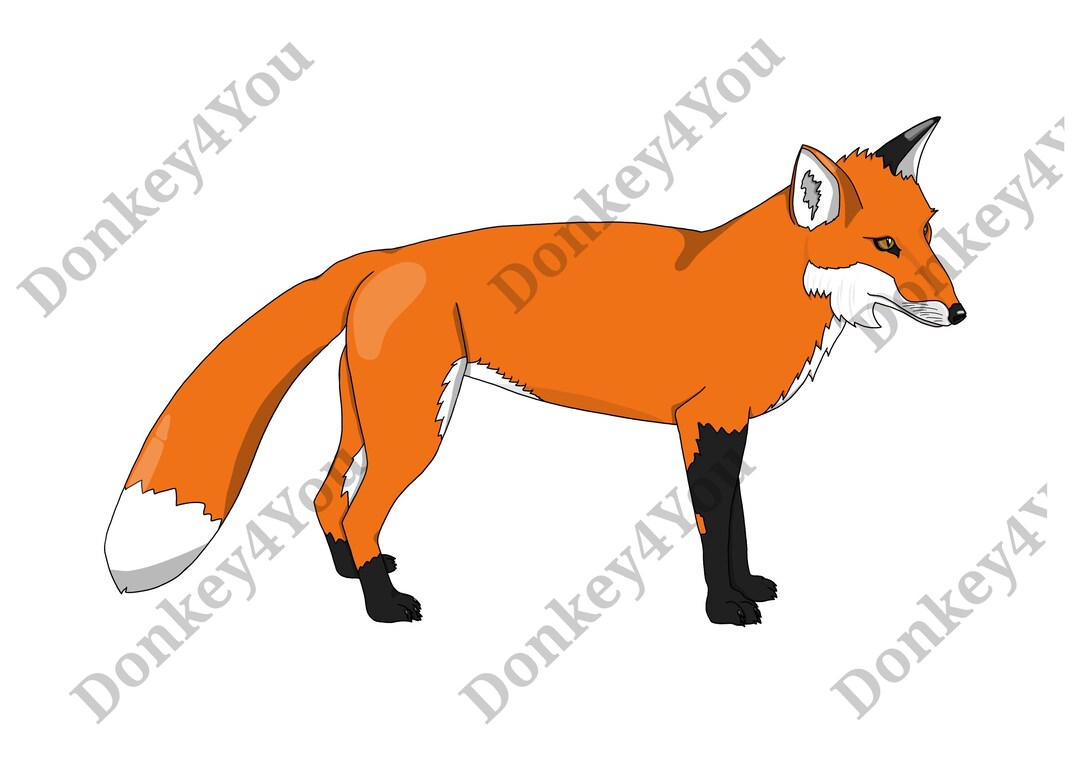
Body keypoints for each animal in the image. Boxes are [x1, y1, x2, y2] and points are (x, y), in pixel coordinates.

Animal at [104, 117, 965, 625]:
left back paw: (355, 571)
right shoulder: (705, 421)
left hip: (372, 419)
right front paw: (725, 606)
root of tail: (382, 255)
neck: (768, 289)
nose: (960, 313)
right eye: (885, 245)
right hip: (416, 432)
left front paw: (747, 585)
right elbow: (714, 525)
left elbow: (740, 525)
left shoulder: (728, 424)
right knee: (359, 507)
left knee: (326, 498)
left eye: (927, 232)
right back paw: (383, 605)